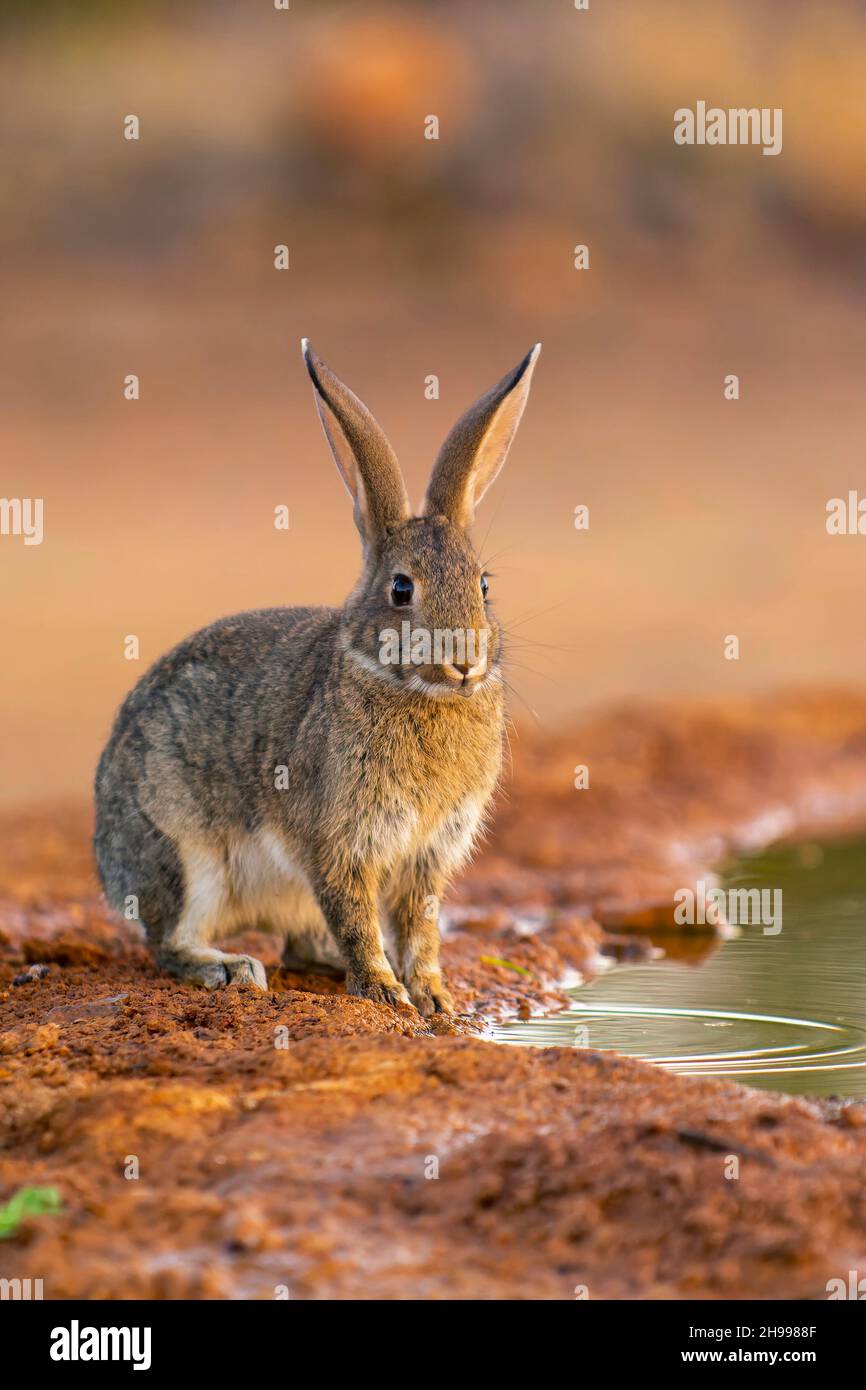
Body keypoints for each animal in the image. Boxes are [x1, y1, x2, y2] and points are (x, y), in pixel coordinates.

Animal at [93, 339, 540, 1014]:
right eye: (401, 589)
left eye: (484, 586)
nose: (465, 660)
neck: (412, 688)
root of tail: (104, 859)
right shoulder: (340, 841)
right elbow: (356, 913)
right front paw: (385, 992)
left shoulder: (428, 855)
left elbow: (420, 926)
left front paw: (435, 997)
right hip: (183, 854)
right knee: (169, 940)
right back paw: (229, 968)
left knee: (301, 944)